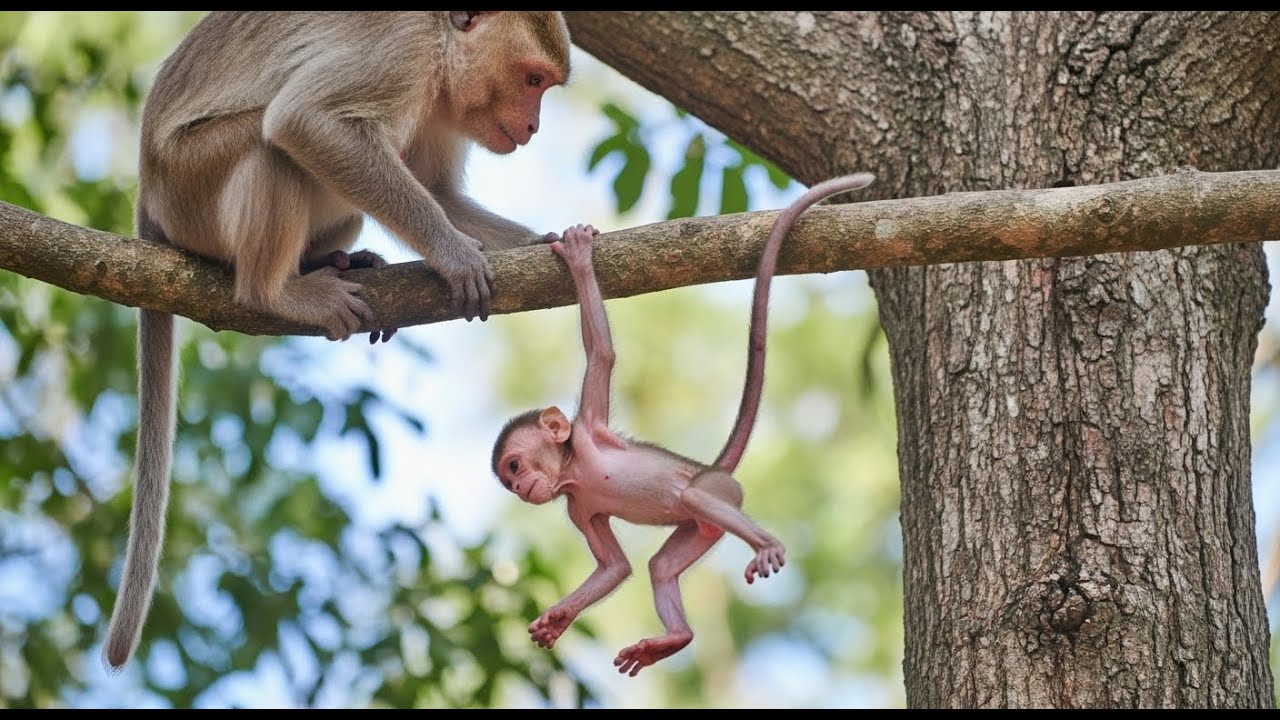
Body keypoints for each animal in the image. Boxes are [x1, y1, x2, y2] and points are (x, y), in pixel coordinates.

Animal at [104, 11, 573, 672]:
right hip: (193, 184)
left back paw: (332, 260)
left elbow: (438, 192)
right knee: (271, 144)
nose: (532, 127)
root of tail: (148, 192)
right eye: (533, 80)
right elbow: (307, 123)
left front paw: (540, 242)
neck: (441, 57)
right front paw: (454, 254)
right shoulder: (405, 53)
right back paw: (273, 291)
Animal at [490, 173, 876, 676]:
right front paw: (559, 617)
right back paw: (674, 638)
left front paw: (578, 259)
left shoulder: (588, 426)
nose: (519, 489)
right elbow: (616, 568)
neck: (576, 469)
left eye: (515, 467)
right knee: (661, 566)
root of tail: (714, 470)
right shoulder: (577, 507)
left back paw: (765, 543)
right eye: (509, 480)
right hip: (701, 528)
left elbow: (602, 353)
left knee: (694, 496)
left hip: (719, 494)